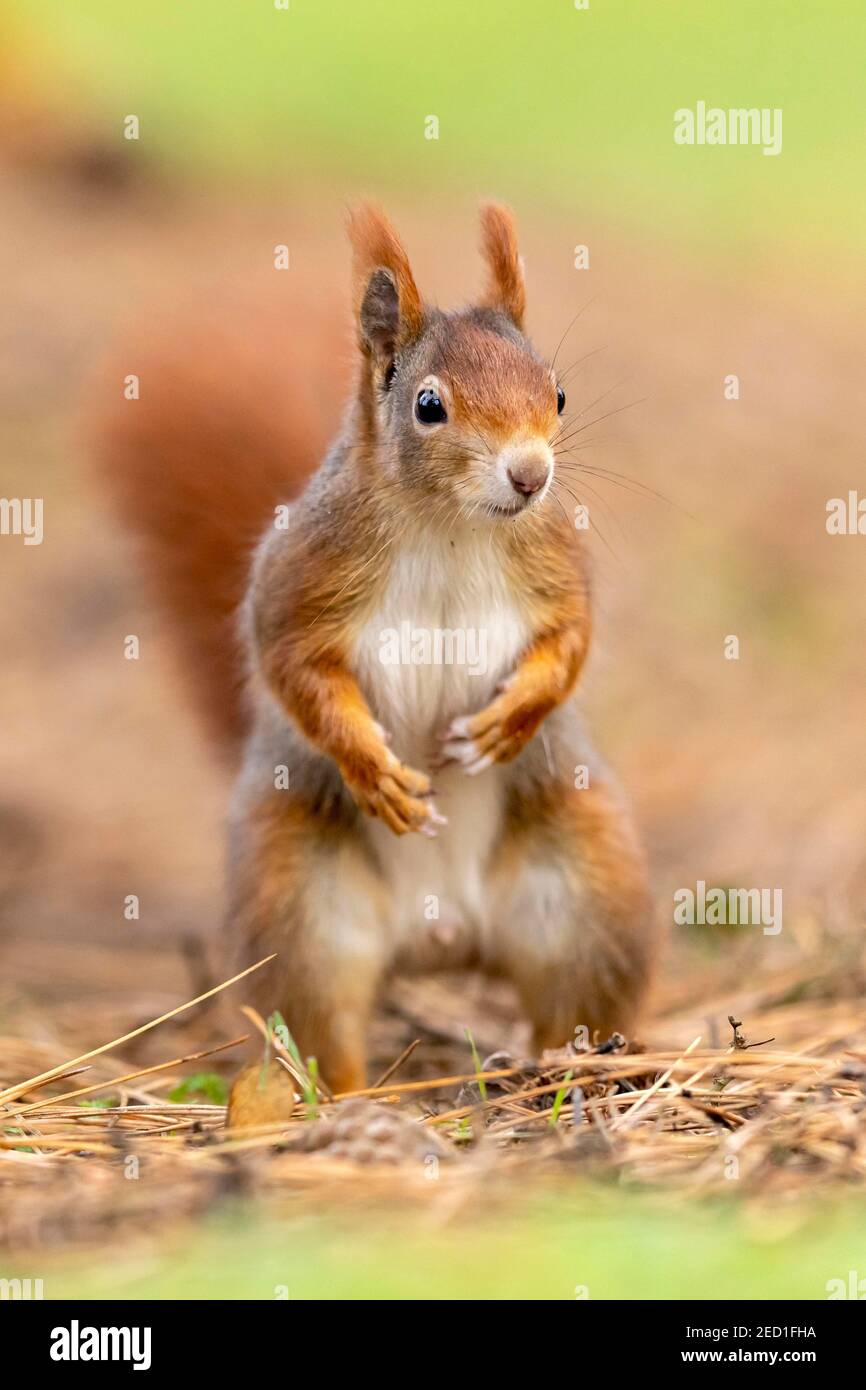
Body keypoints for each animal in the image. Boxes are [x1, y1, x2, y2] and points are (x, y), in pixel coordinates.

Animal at [101, 203, 654, 1094]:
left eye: (558, 393)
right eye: (429, 405)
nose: (531, 475)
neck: (451, 527)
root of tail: (441, 932)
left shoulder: (554, 566)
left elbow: (569, 639)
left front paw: (508, 721)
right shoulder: (299, 579)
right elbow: (293, 665)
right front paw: (377, 772)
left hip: (587, 892)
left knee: (573, 995)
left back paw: (572, 1068)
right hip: (301, 910)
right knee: (318, 1027)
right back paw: (349, 1101)